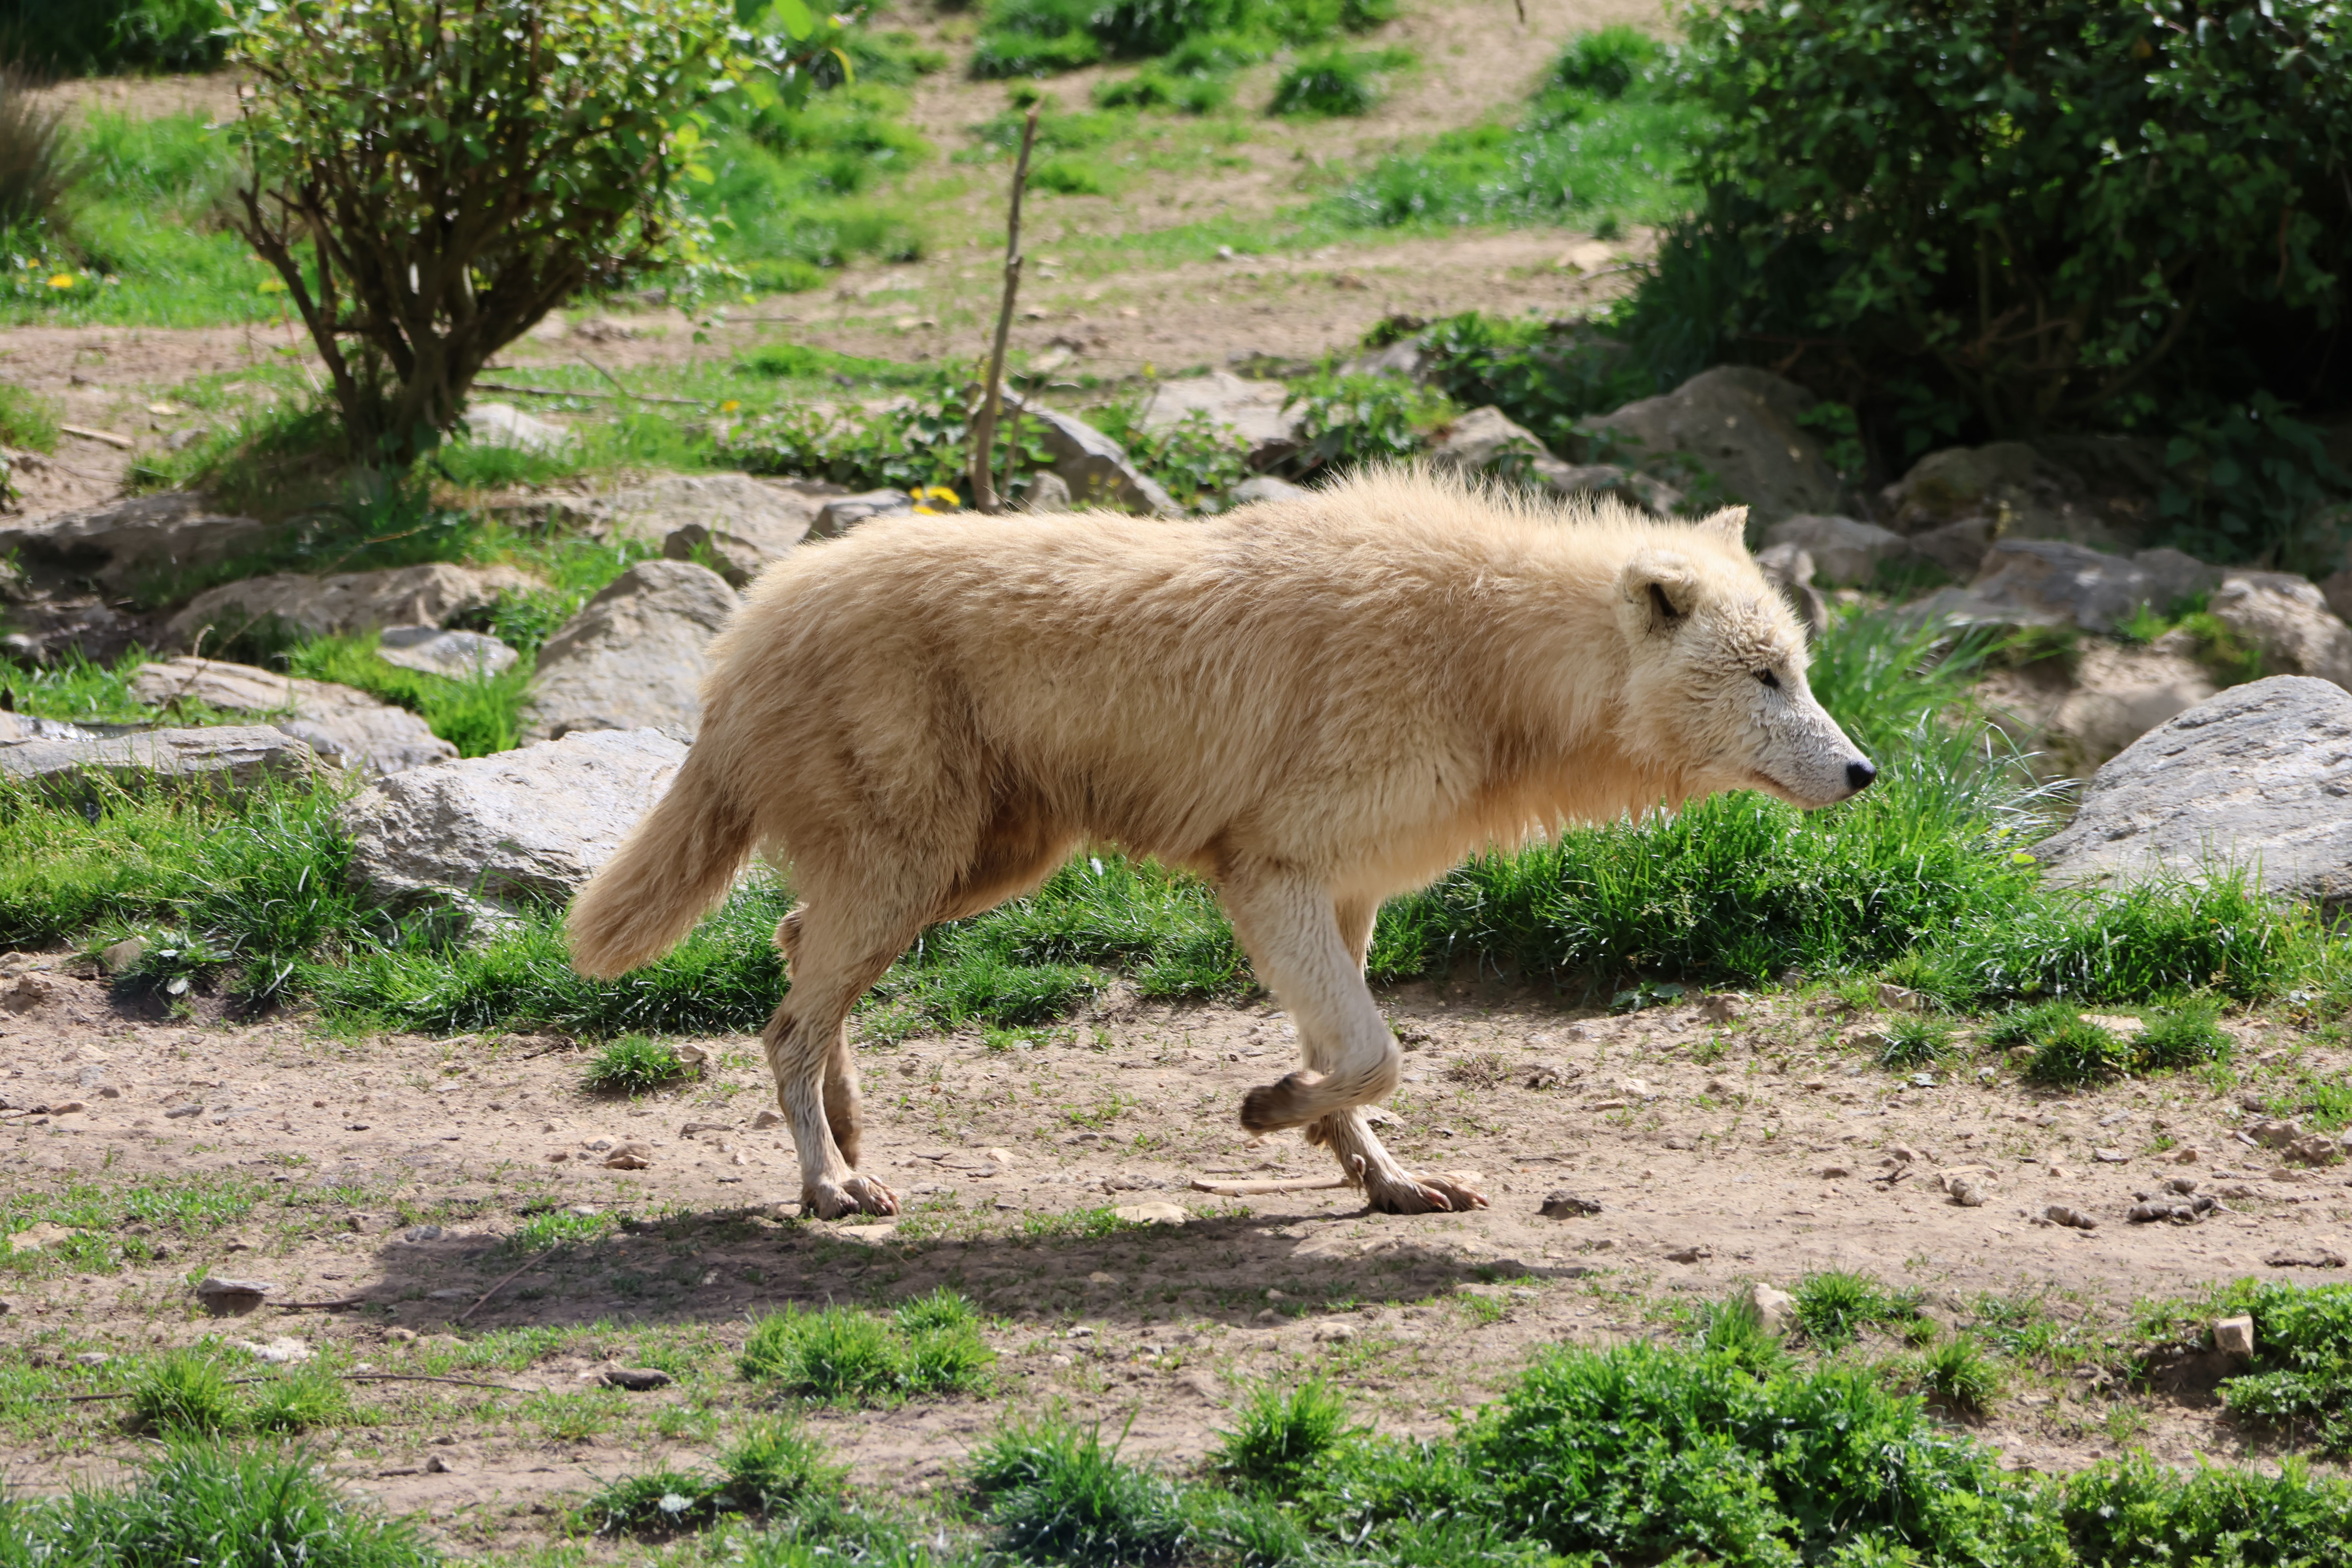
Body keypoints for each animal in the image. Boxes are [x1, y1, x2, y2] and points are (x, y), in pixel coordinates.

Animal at [567, 468, 1874, 1218]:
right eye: (1767, 676)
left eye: (1803, 669)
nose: (1867, 773)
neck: (1486, 660)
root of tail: (742, 632)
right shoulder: (1268, 876)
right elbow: (1374, 1052)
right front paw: (1267, 1107)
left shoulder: (1344, 896)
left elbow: (1358, 1058)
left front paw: (1381, 1178)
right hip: (919, 878)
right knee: (785, 1020)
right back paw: (827, 1185)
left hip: (966, 875)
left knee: (797, 952)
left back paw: (850, 1143)